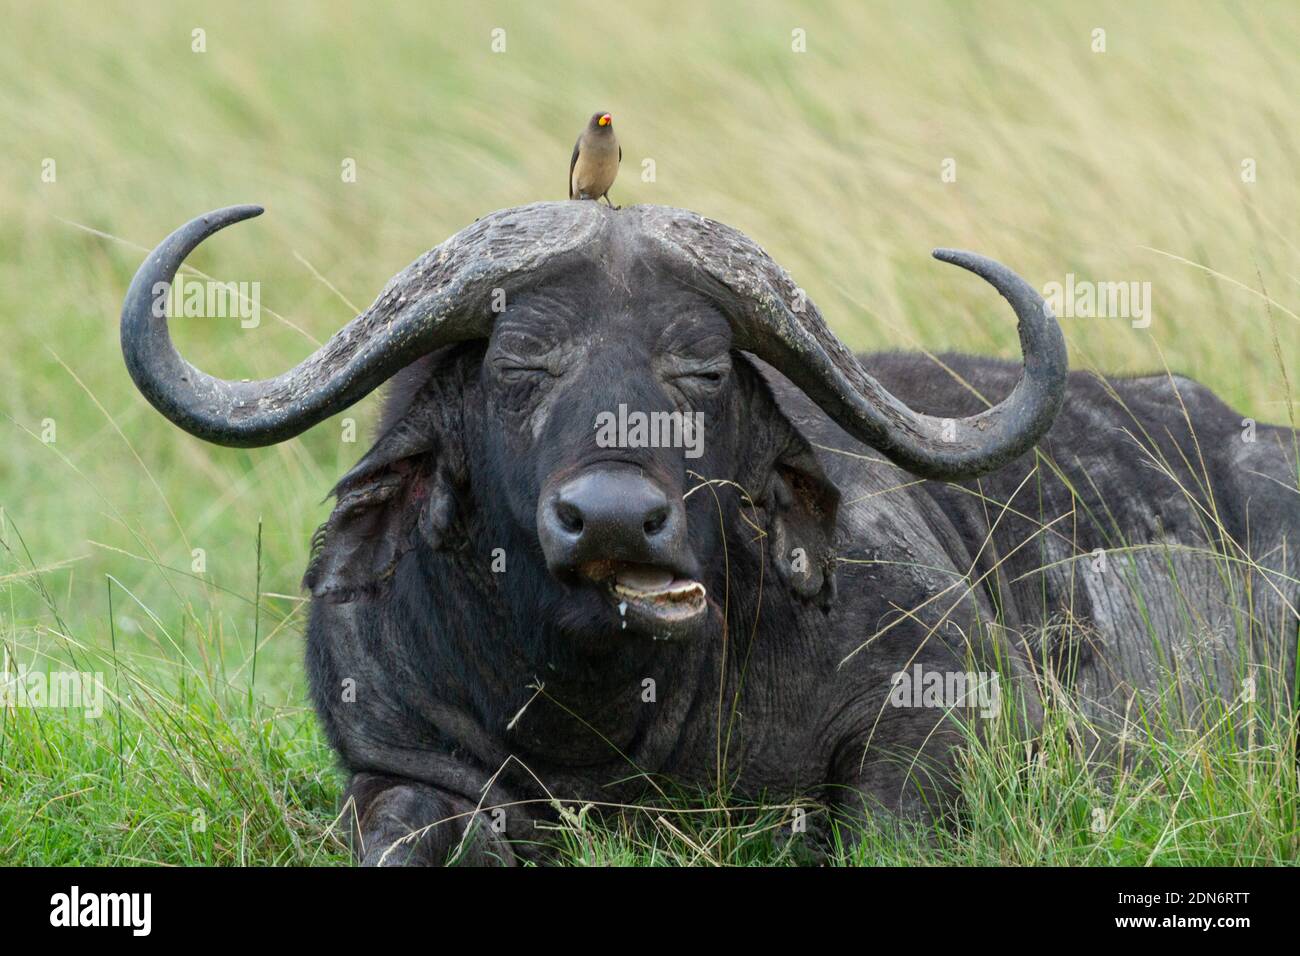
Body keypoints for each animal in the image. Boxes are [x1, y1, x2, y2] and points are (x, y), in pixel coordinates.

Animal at [121, 201, 1299, 864]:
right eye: (520, 364)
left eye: (698, 369)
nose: (610, 516)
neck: (605, 713)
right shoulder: (386, 755)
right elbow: (405, 832)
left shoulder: (940, 700)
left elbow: (881, 823)